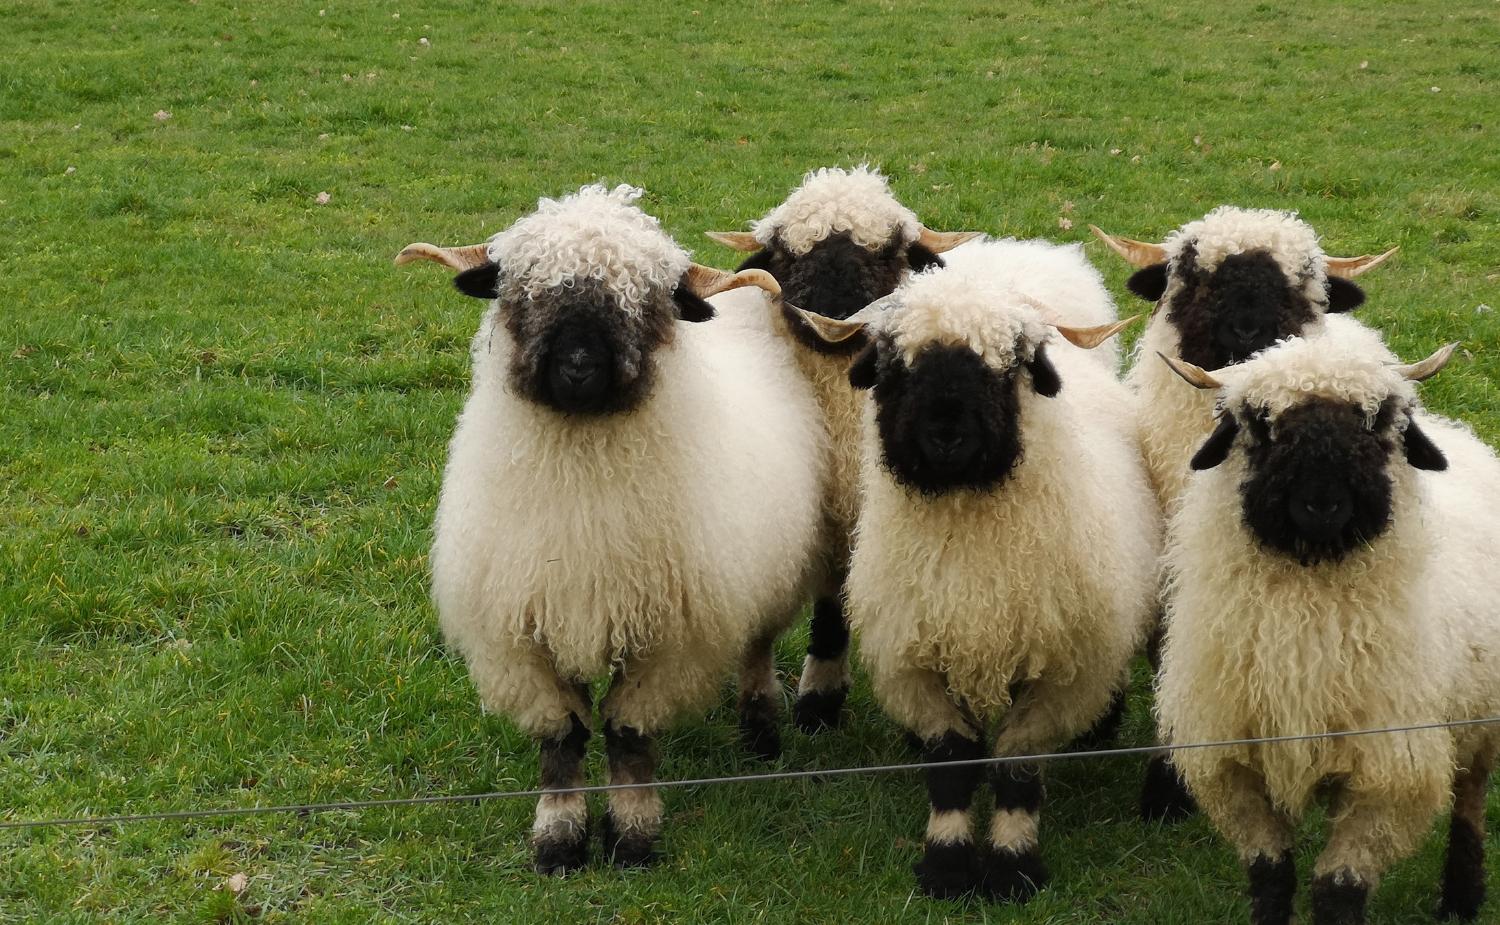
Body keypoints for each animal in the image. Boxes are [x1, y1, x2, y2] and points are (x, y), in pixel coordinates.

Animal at [396, 183, 827, 873]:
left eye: (645, 303)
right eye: (525, 290)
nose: (577, 365)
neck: (585, 485)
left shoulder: (666, 639)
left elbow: (627, 734)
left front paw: (632, 836)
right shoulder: (530, 627)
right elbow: (563, 737)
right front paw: (558, 839)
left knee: (757, 647)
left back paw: (761, 729)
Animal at [796, 249, 1160, 901]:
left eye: (1005, 366)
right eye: (896, 365)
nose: (945, 433)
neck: (970, 540)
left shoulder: (1058, 668)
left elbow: (1016, 765)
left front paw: (1012, 868)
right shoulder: (915, 658)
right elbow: (952, 761)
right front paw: (946, 865)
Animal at [1155, 333, 1500, 925]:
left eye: (1376, 420)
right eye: (1260, 422)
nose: (1321, 503)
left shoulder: (1388, 770)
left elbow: (1339, 890)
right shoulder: (1236, 767)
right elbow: (1271, 876)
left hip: (1480, 719)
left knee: (1471, 797)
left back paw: (1461, 898)